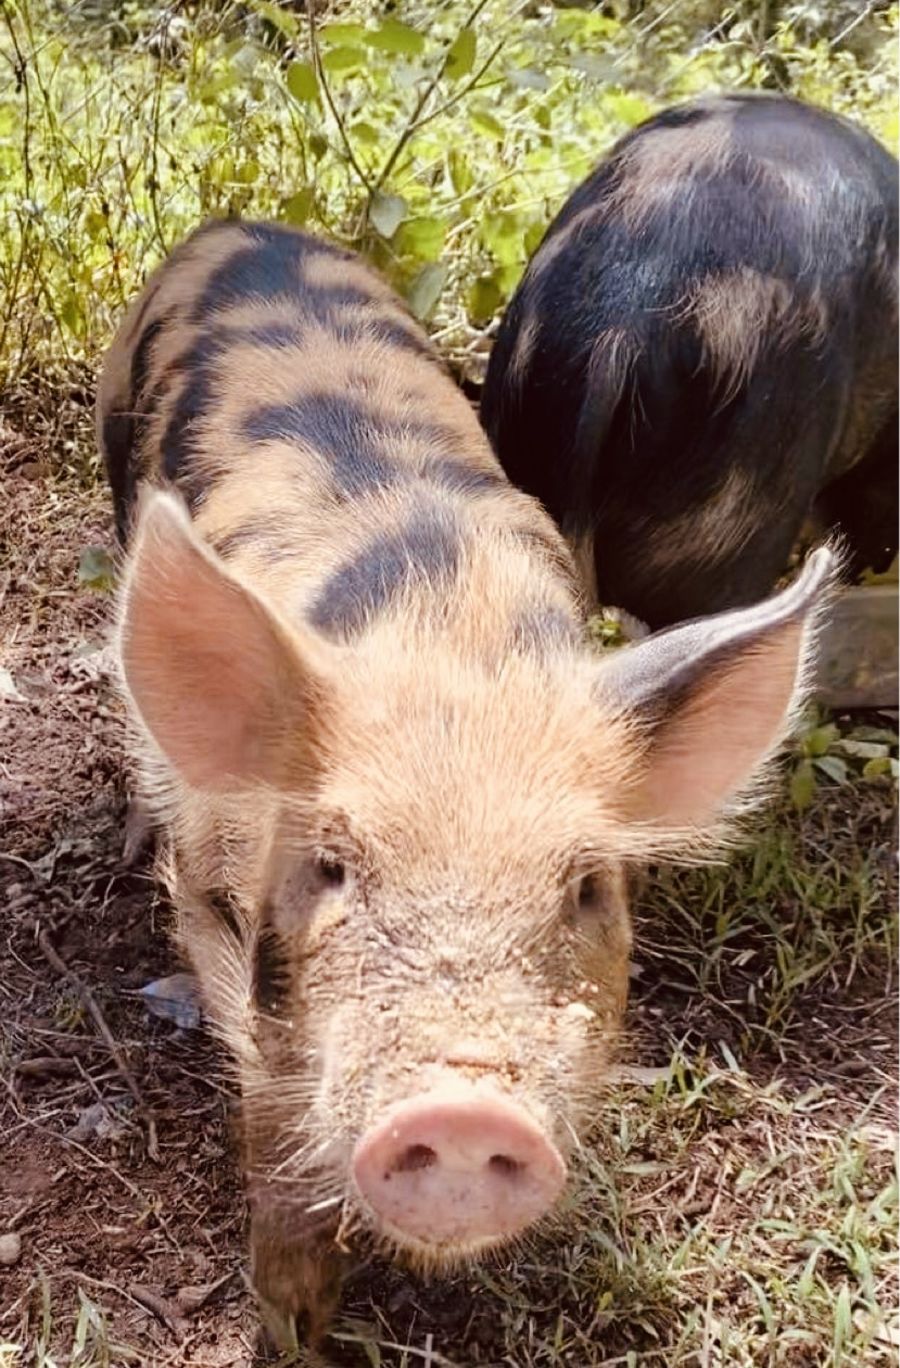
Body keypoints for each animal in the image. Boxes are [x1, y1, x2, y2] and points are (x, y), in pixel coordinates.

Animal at [97, 218, 834, 1347]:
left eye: (587, 888)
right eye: (331, 865)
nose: (462, 1106)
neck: (449, 641)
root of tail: (243, 229)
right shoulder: (220, 916)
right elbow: (273, 1119)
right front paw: (298, 1330)